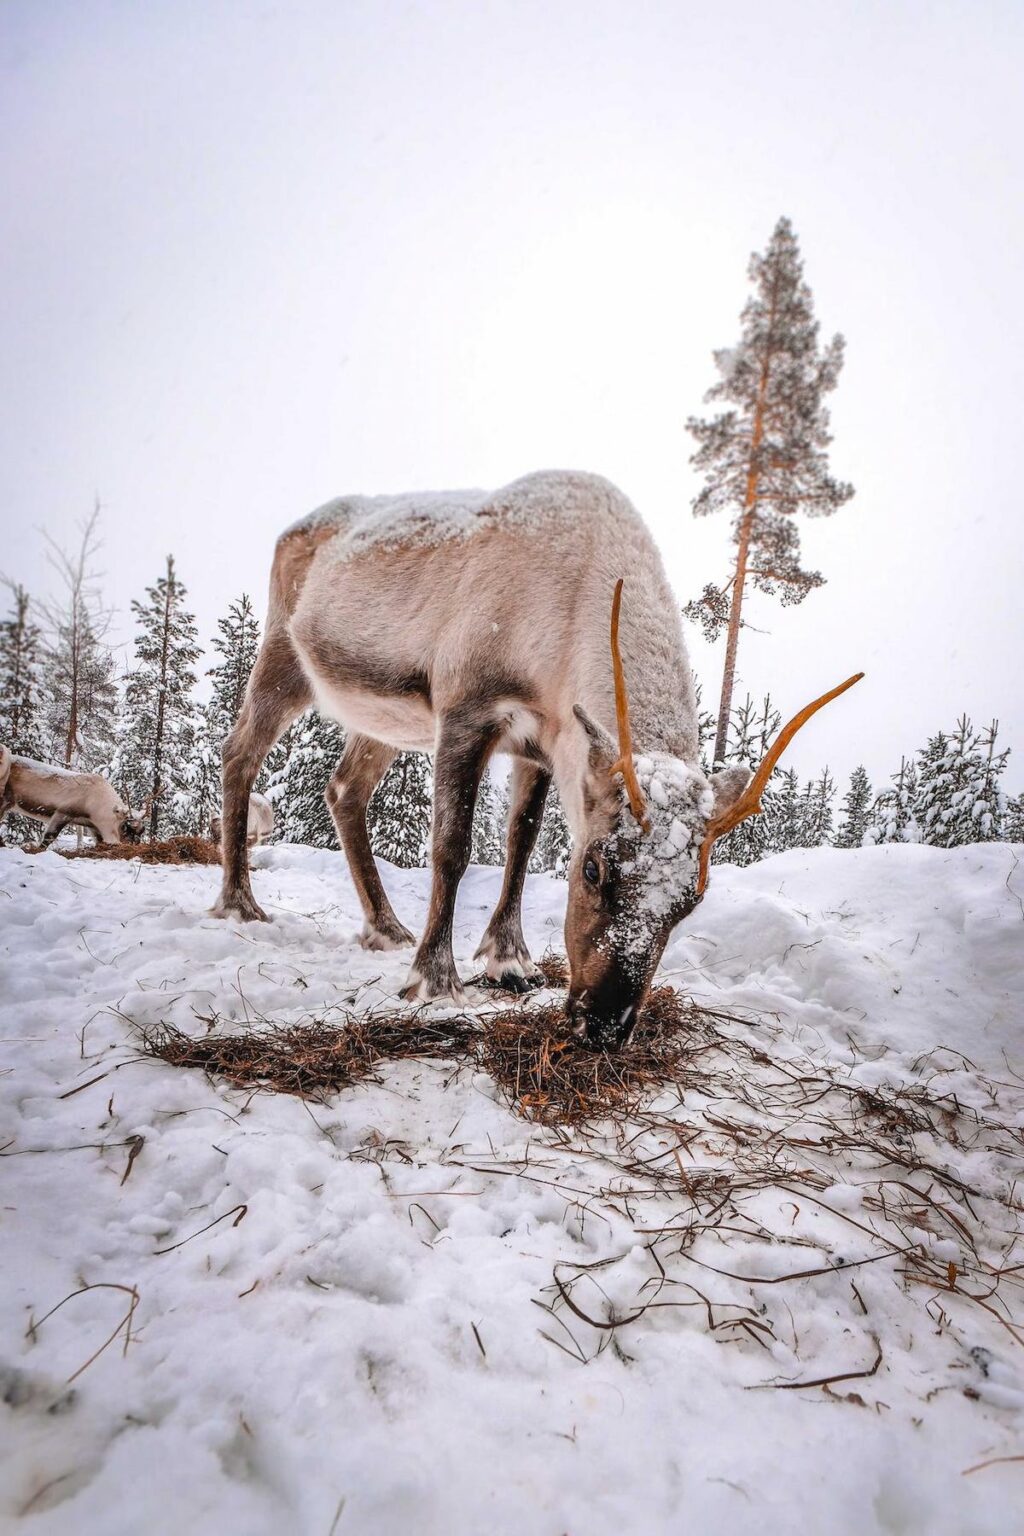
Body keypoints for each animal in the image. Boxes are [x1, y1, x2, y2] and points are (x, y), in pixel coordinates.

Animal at [0, 747, 151, 848]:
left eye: (142, 831)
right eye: (125, 827)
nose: (133, 844)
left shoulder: (91, 825)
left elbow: (99, 841)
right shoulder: (63, 812)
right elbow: (49, 837)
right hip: (5, 799)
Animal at [213, 470, 861, 1049]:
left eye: (692, 898)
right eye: (595, 868)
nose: (603, 1024)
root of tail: (296, 527)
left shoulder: (544, 746)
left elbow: (520, 843)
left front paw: (509, 961)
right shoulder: (466, 708)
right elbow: (452, 847)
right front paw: (436, 980)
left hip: (382, 720)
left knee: (345, 788)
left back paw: (385, 927)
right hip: (283, 655)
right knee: (237, 752)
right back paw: (240, 902)